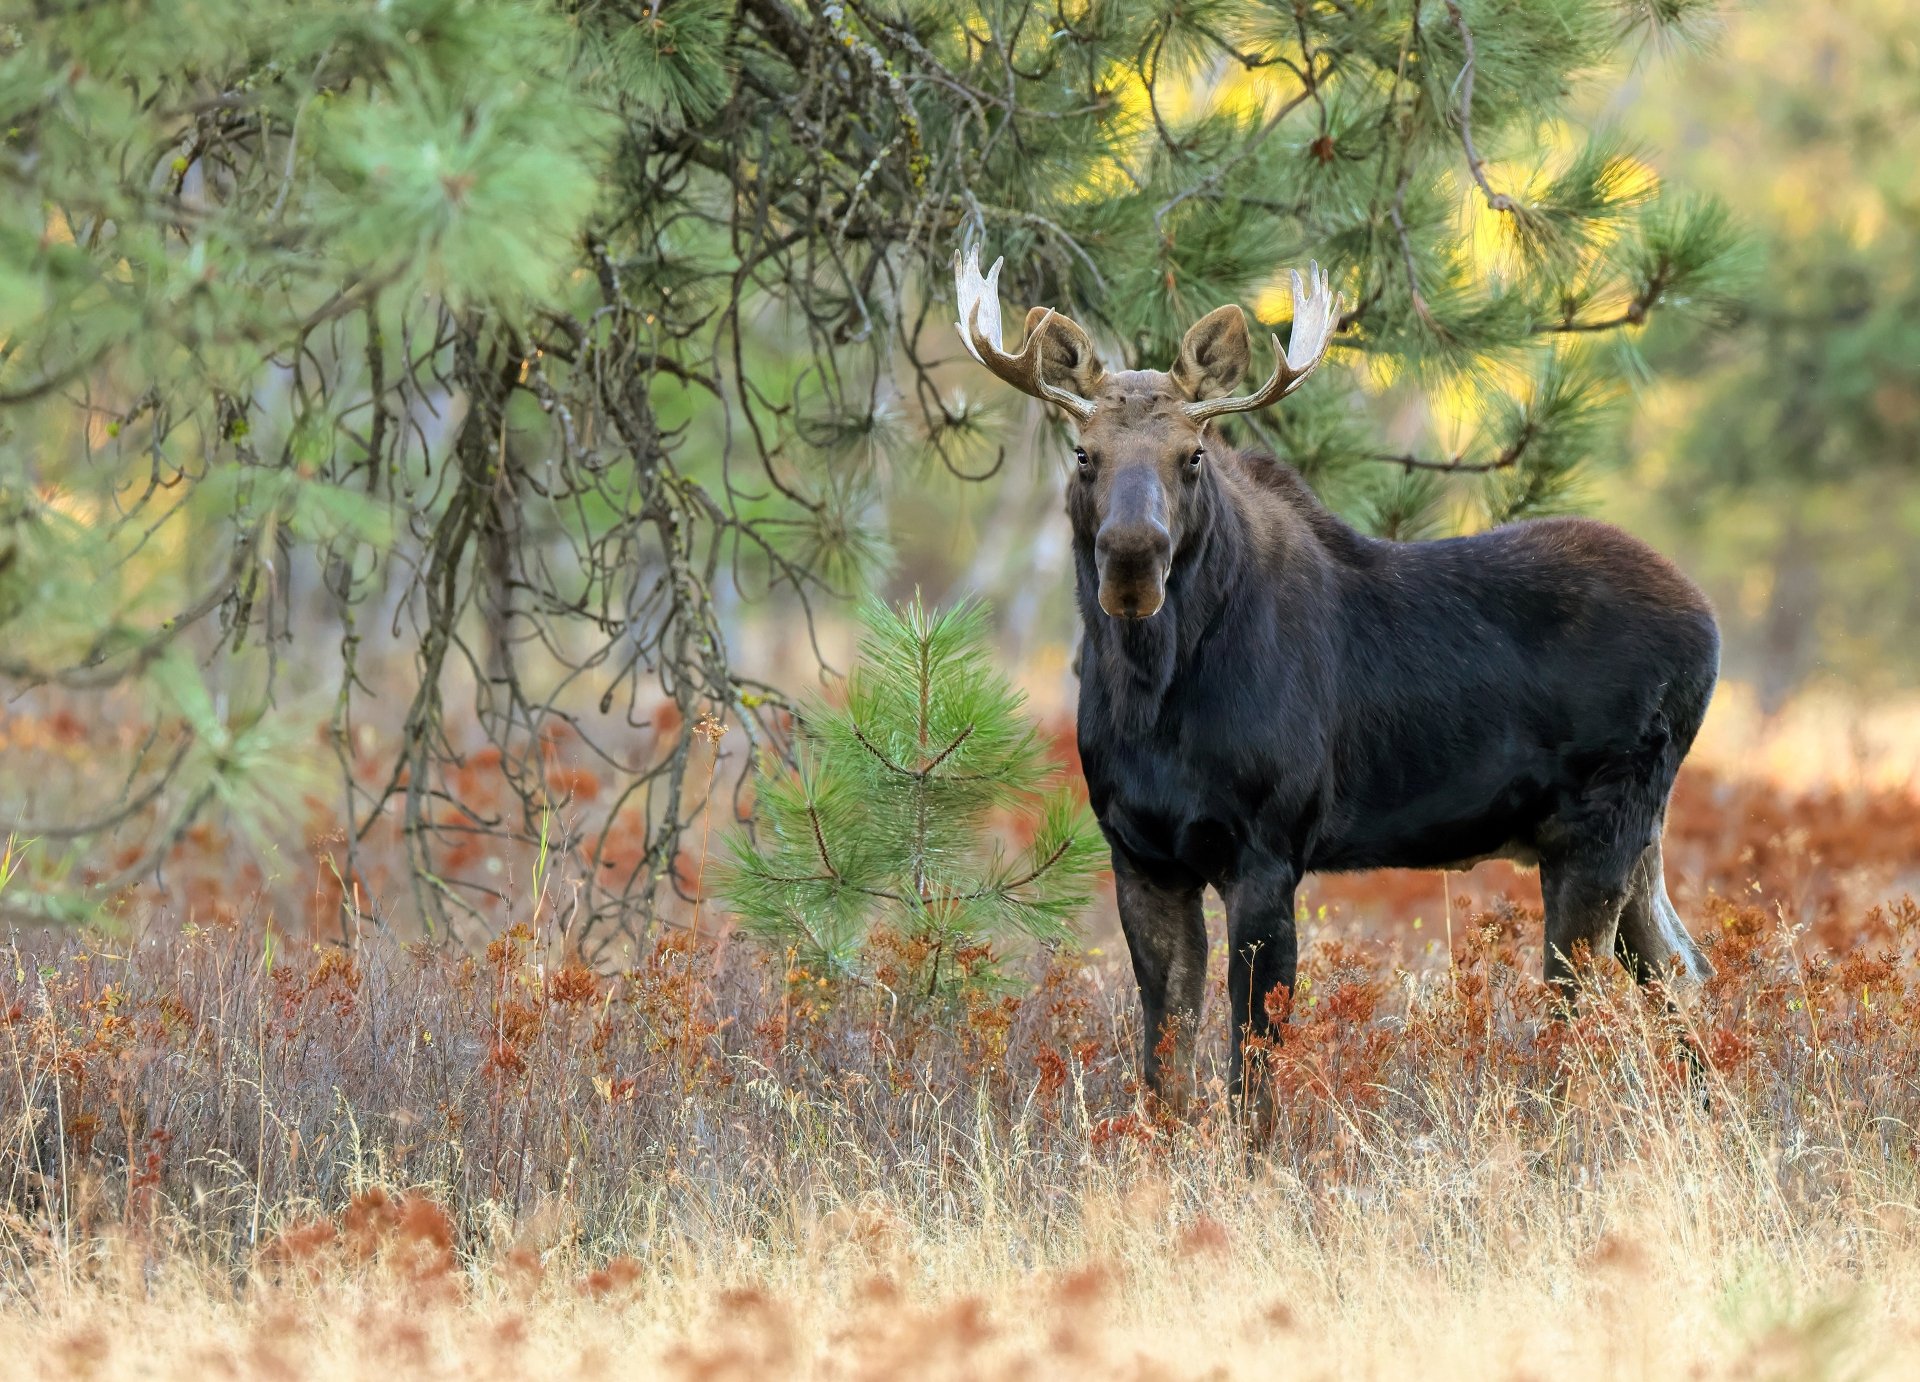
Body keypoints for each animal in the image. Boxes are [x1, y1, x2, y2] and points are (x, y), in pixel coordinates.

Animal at [952, 247, 1720, 1118]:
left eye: (1193, 455)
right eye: (1084, 453)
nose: (1132, 559)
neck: (1153, 697)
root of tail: (1709, 627)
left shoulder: (1267, 850)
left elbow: (1253, 1064)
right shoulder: (1142, 855)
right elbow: (1164, 1064)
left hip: (1598, 827)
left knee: (1582, 1008)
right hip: (1629, 837)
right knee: (1681, 969)